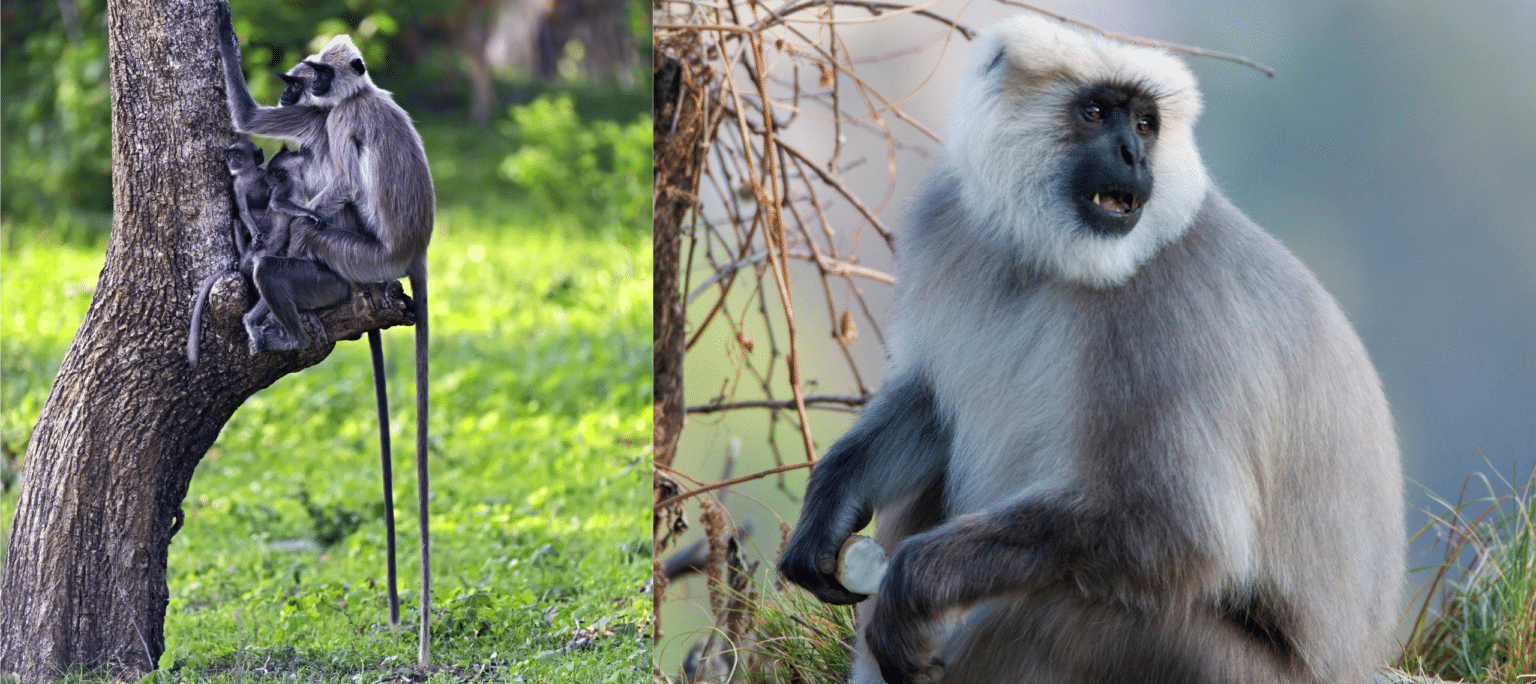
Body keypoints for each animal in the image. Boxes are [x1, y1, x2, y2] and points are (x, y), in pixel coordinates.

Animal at [216, 3, 433, 661]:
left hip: (360, 254)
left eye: (312, 75)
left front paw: (223, 26)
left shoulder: (336, 118)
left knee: (314, 228)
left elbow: (326, 172)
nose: (293, 87)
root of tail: (413, 249)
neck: (360, 94)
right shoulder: (324, 114)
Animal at [776, 15, 1403, 684]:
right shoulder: (956, 227)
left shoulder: (1165, 315)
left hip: (1218, 667)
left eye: (1145, 124)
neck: (1051, 261)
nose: (1132, 153)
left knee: (1042, 618)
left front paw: (914, 583)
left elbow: (1179, 529)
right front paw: (830, 506)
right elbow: (930, 400)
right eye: (1098, 113)